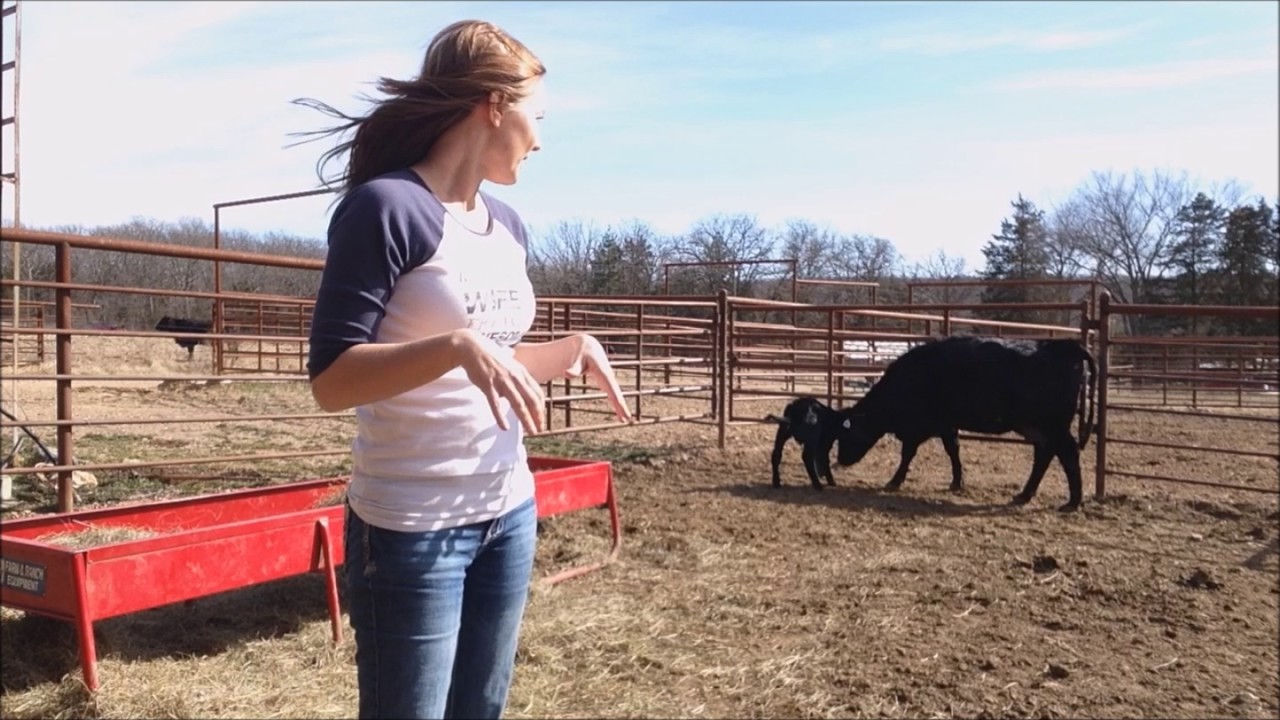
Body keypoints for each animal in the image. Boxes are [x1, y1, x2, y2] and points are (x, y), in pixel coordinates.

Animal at [833, 335, 1097, 512]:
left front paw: (894, 481)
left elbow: (908, 454)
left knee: (1067, 452)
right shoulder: (946, 424)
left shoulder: (919, 427)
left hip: (1053, 425)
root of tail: (1063, 346)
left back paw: (1073, 502)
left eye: (847, 433)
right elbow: (953, 450)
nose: (841, 460)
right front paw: (957, 482)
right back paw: (1025, 494)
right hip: (1037, 427)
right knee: (1045, 454)